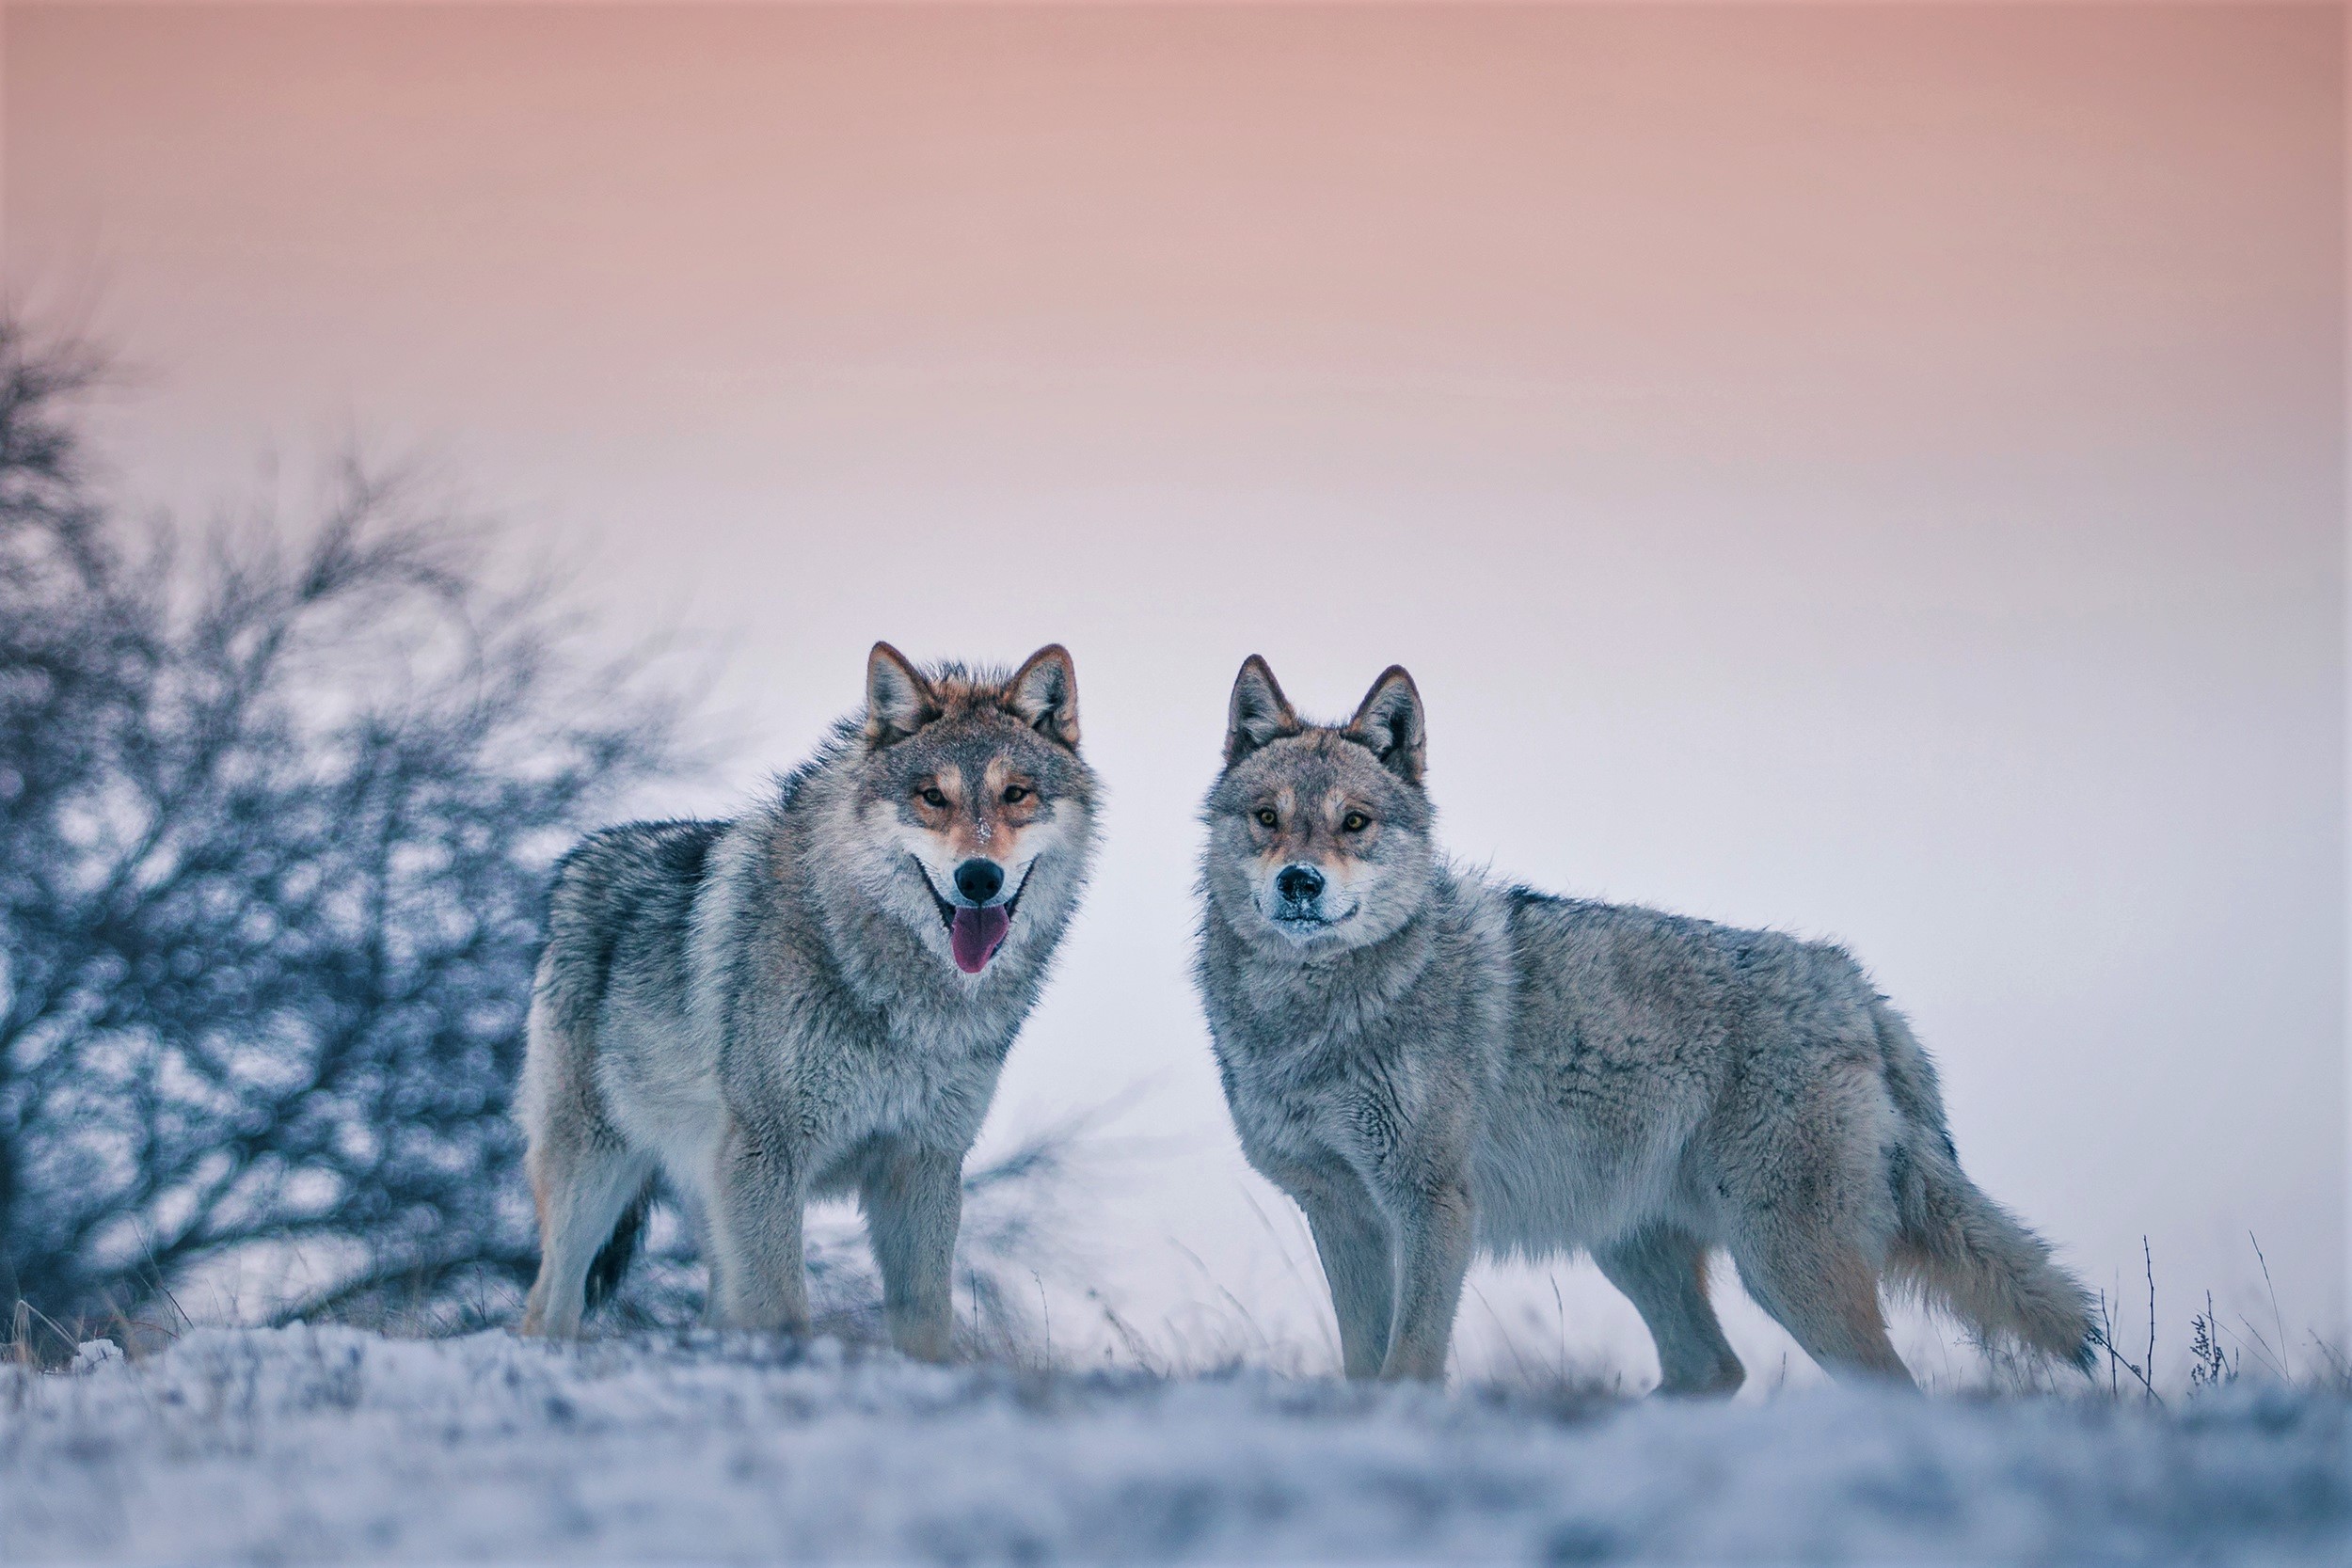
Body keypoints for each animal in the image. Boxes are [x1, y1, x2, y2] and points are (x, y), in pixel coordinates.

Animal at [517, 642, 1097, 1355]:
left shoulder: (923, 1165)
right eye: (932, 796)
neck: (903, 996)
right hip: (596, 1175)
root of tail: (580, 859)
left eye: (1015, 793)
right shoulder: (769, 1155)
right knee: (549, 1305)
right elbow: (786, 1314)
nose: (979, 878)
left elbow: (926, 1319)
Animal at [1194, 656, 2095, 1389]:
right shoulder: (1340, 1214)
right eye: (1268, 817)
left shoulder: (1432, 1206)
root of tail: (1859, 989)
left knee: (1880, 1383)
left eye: (1355, 822)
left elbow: (1407, 1363)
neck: (1310, 1017)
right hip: (1637, 1249)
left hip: (1784, 1266)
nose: (1300, 882)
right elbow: (1361, 1364)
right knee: (1715, 1367)